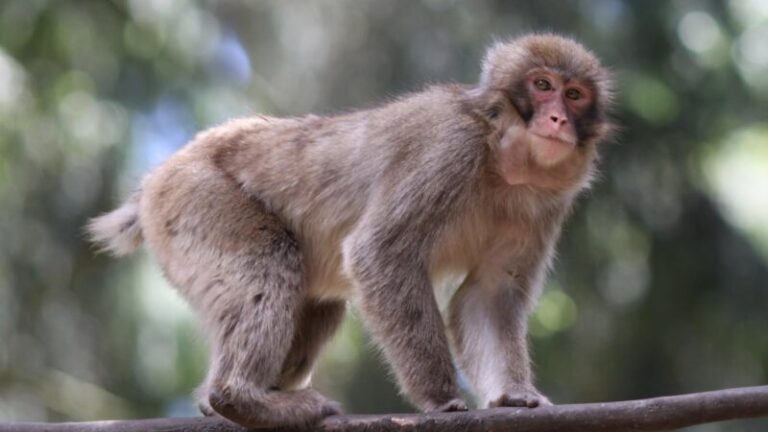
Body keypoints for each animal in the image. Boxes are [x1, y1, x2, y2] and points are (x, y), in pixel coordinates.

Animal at [88, 33, 613, 428]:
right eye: (542, 84)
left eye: (574, 95)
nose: (557, 118)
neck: (500, 161)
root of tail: (161, 175)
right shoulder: (449, 149)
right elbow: (378, 253)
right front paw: (441, 397)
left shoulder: (544, 204)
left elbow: (488, 294)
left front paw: (513, 396)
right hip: (196, 198)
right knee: (270, 259)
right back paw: (241, 398)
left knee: (319, 303)